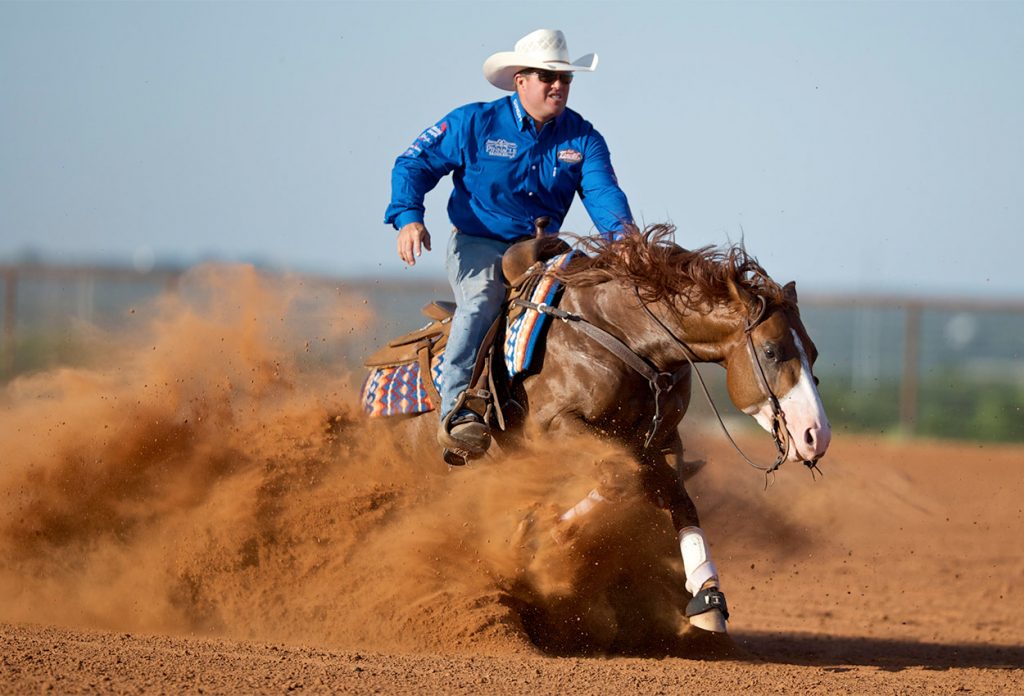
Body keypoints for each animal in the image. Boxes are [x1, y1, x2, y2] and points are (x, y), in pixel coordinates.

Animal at [380, 223, 831, 636]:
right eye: (771, 351)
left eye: (813, 352)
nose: (815, 435)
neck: (624, 338)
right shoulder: (554, 426)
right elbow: (618, 477)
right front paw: (538, 541)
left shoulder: (658, 441)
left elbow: (675, 497)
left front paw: (708, 597)